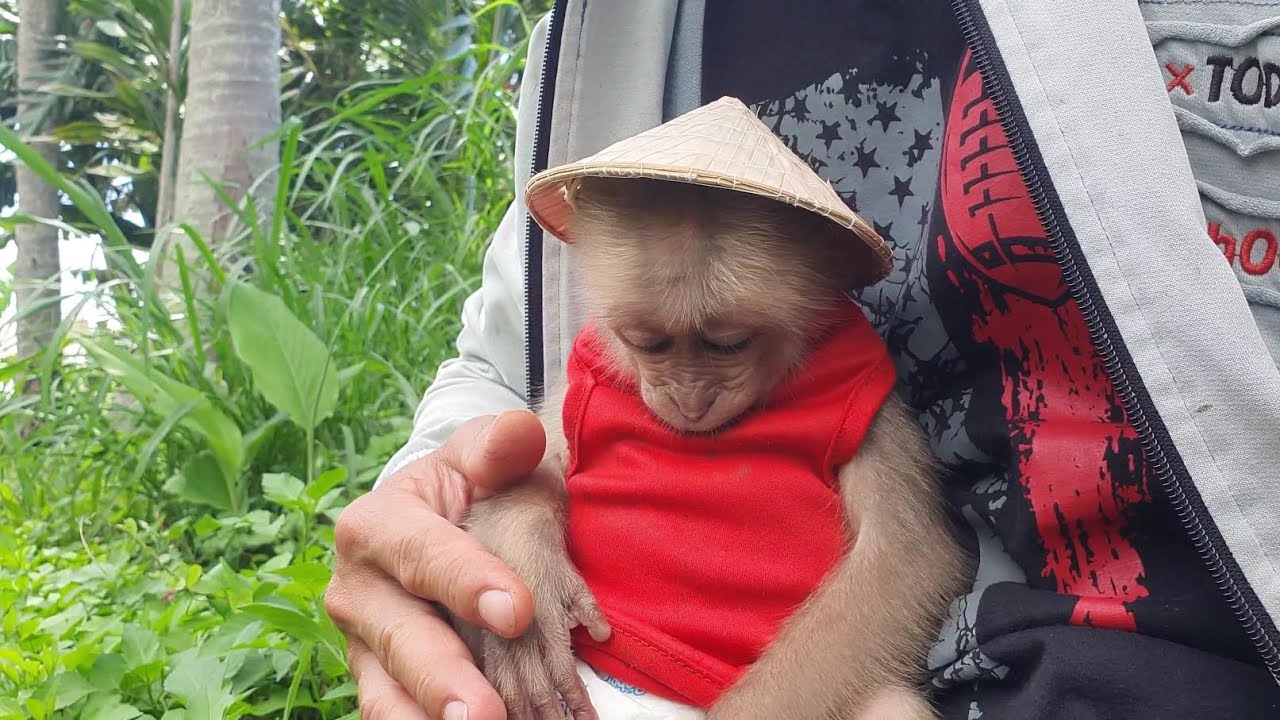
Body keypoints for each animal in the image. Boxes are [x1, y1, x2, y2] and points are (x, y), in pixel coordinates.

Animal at [461, 176, 973, 720]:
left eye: (730, 344)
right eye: (648, 343)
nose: (689, 401)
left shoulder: (869, 401)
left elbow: (906, 557)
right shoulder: (588, 376)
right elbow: (532, 466)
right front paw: (534, 582)